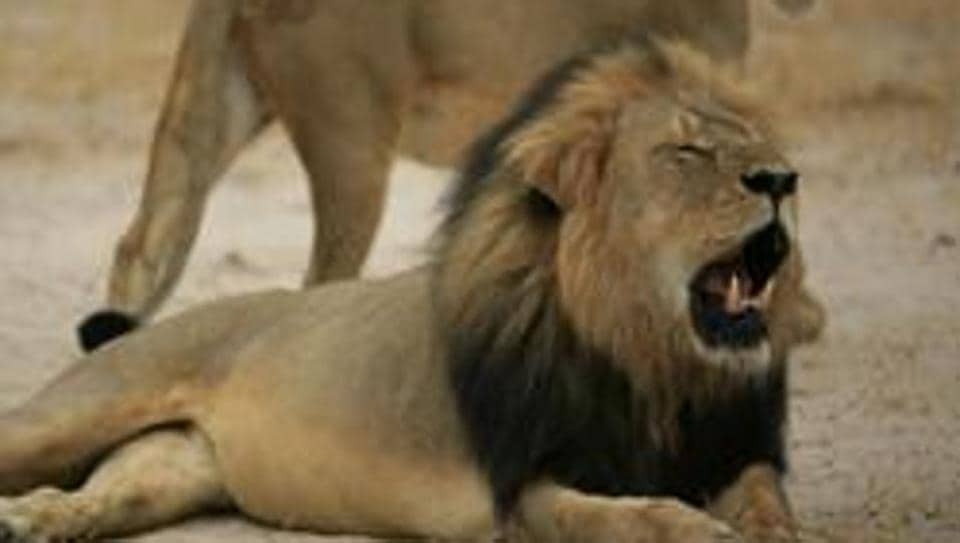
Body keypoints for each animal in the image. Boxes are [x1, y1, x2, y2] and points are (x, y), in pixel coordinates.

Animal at [4, 41, 825, 542]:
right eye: (687, 151)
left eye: (756, 142)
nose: (782, 179)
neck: (649, 361)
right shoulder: (523, 487)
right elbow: (621, 518)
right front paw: (691, 527)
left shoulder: (732, 453)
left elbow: (766, 498)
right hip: (72, 414)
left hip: (173, 467)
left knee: (99, 496)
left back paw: (36, 519)